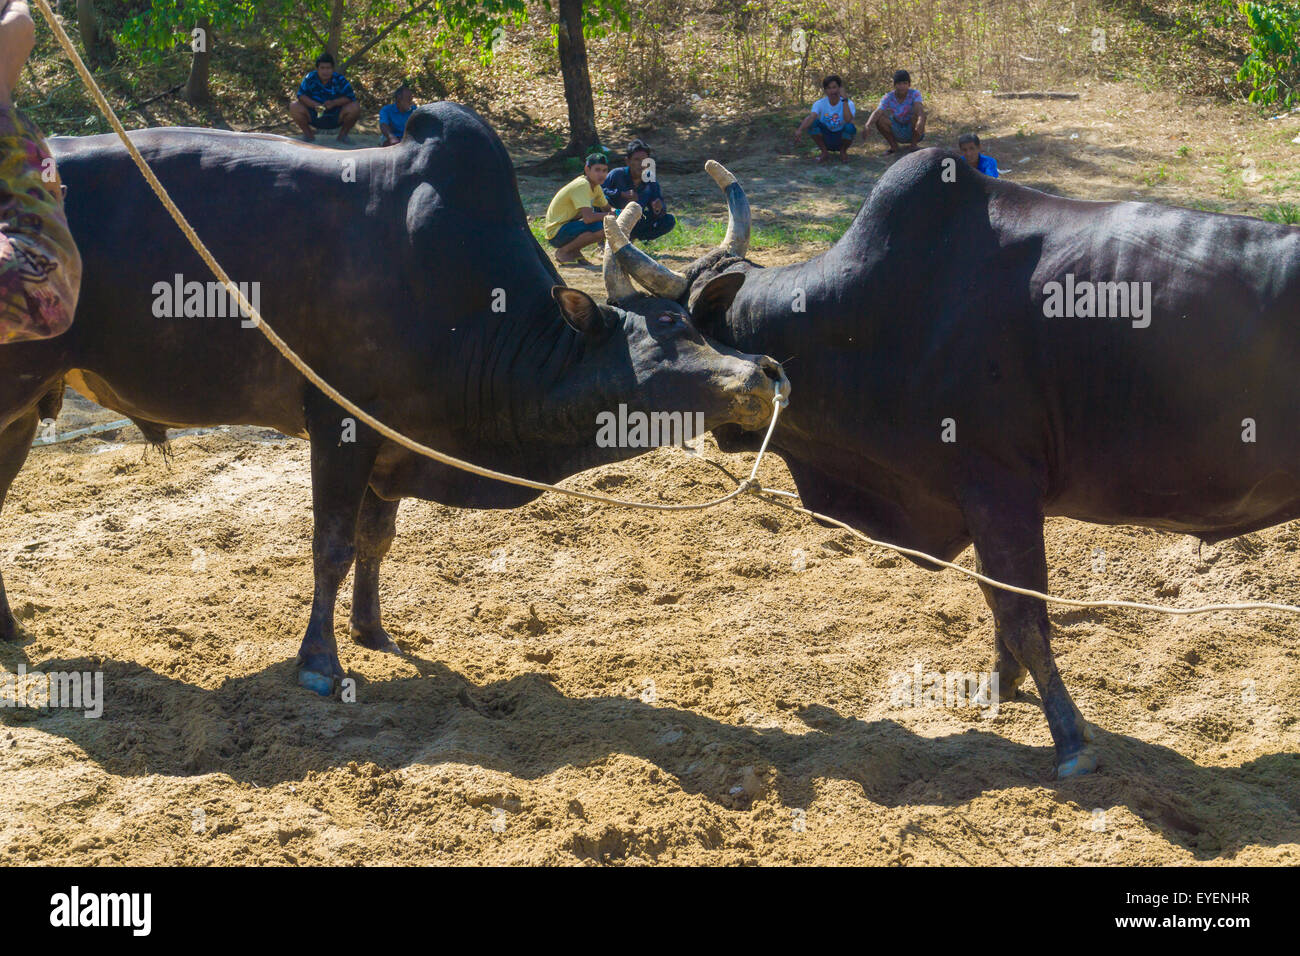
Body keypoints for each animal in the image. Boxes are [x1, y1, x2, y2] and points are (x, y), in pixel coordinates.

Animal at [0, 103, 788, 695]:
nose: (761, 376)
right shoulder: (341, 424)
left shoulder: (394, 444)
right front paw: (319, 661)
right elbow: (333, 545)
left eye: (698, 323)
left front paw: (373, 631)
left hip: (23, 410)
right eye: (665, 330)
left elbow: (378, 541)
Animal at [606, 150, 1300, 778]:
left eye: (680, 327)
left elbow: (1022, 614)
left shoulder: (997, 487)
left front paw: (1070, 740)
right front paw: (999, 688)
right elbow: (1002, 603)